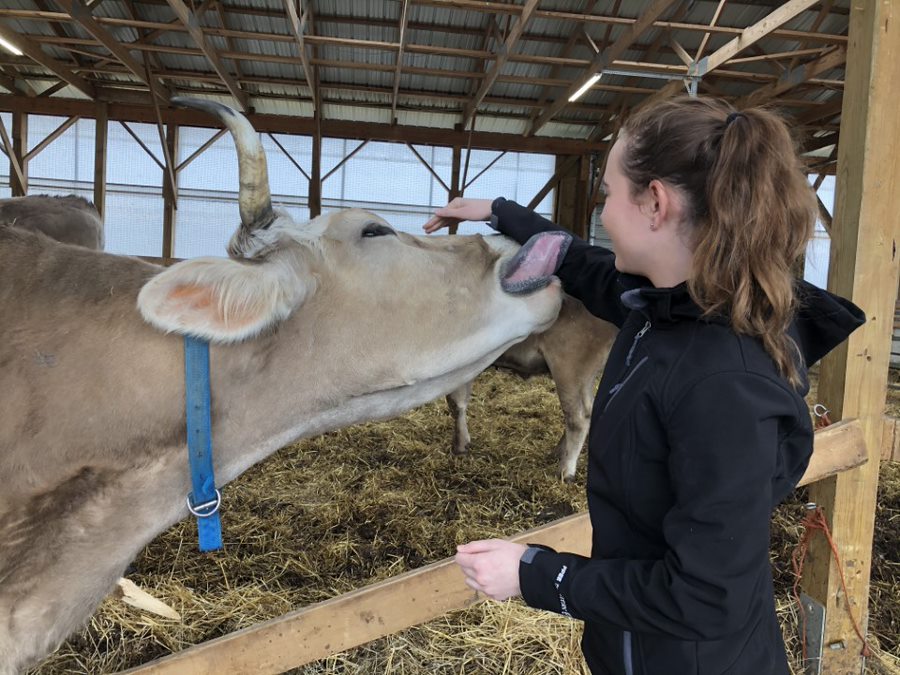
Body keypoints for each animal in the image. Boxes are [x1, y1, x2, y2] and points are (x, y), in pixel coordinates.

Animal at [444, 236, 617, 481]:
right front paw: (463, 443)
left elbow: (456, 403)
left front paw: (459, 445)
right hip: (586, 374)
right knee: (587, 410)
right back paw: (558, 452)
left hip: (570, 365)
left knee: (579, 416)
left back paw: (566, 469)